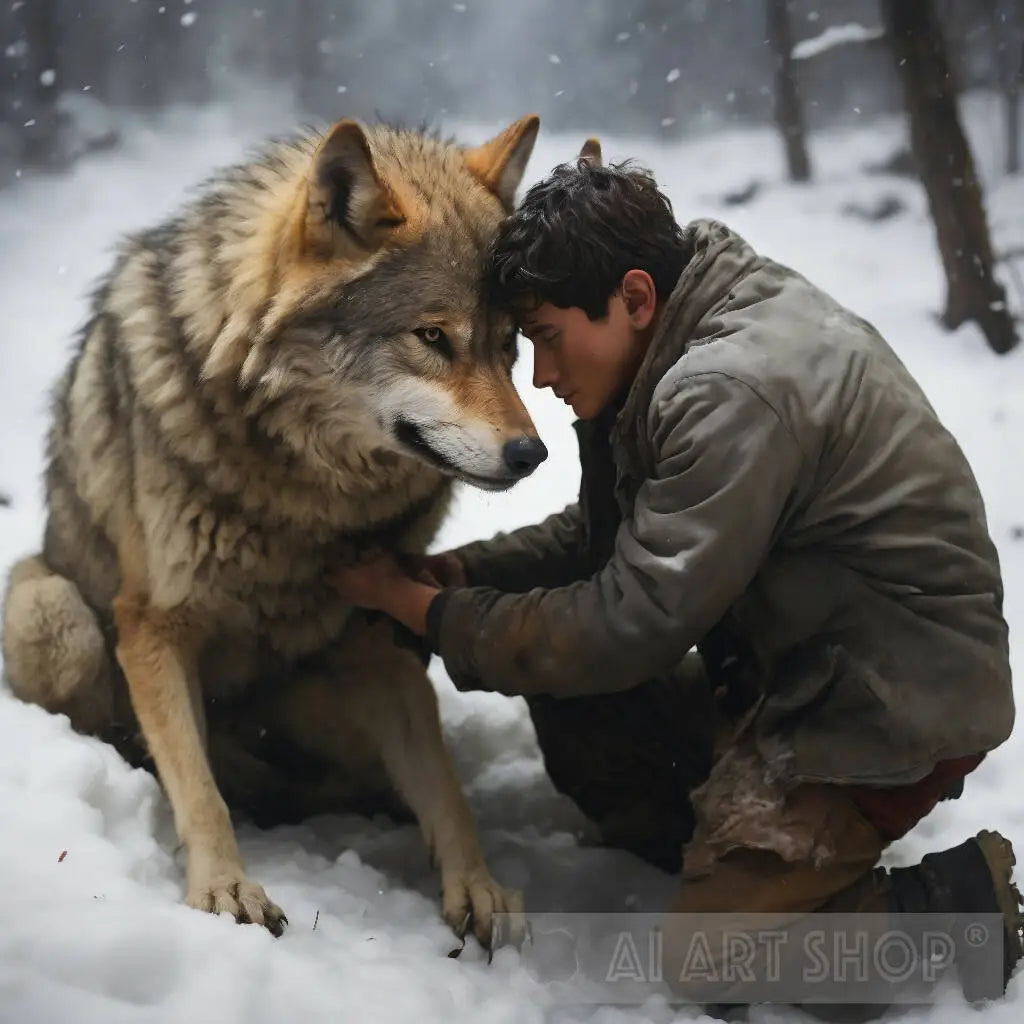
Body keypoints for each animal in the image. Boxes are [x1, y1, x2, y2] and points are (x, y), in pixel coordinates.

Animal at [1, 114, 547, 946]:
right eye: (432, 337)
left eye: (510, 343)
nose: (532, 454)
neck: (309, 494)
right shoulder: (154, 625)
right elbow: (200, 792)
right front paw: (225, 890)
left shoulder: (379, 632)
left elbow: (444, 786)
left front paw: (479, 888)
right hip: (54, 616)